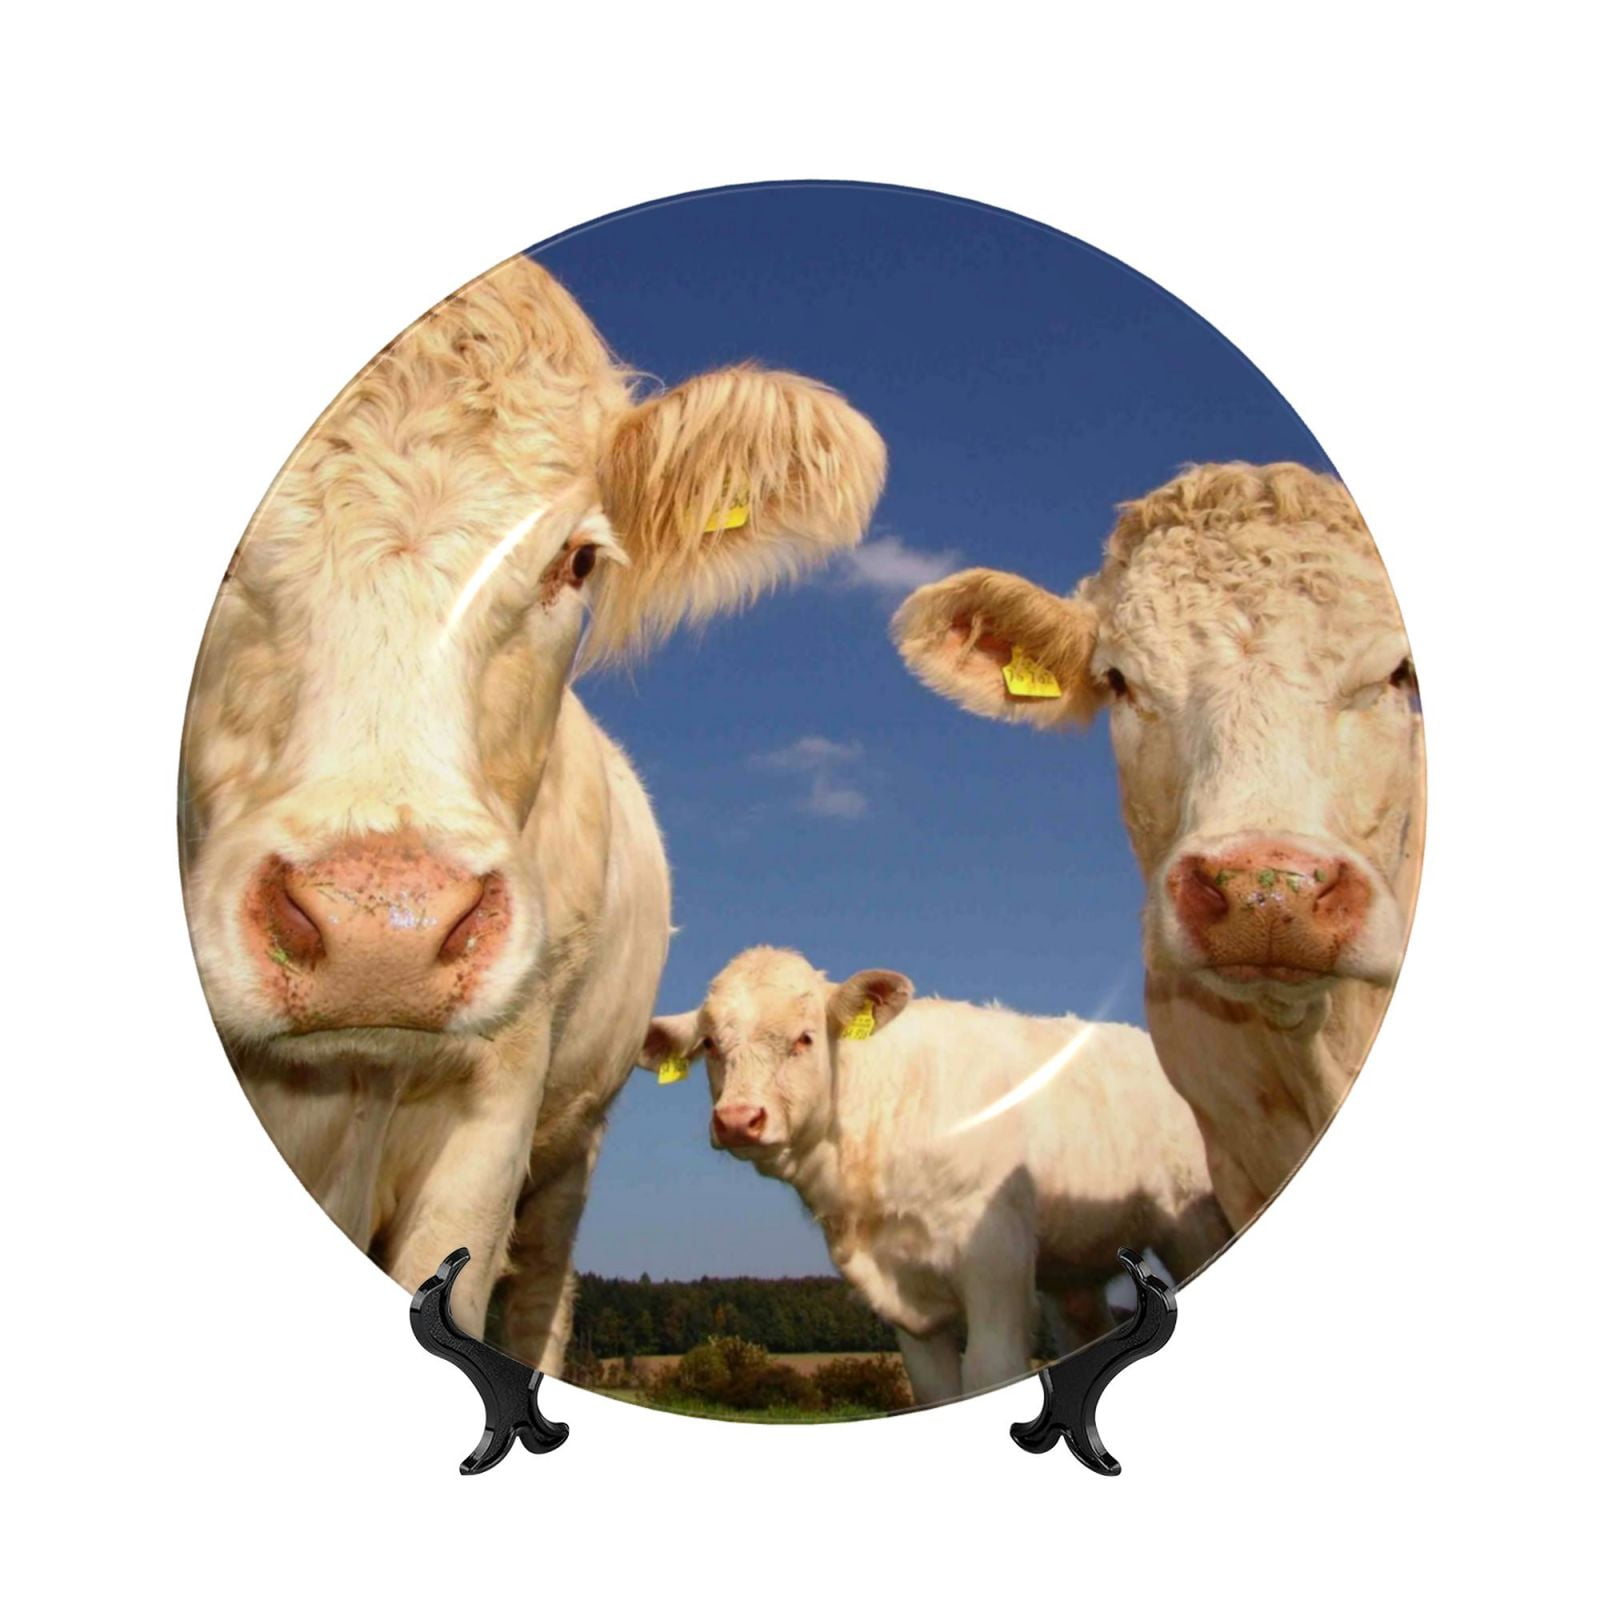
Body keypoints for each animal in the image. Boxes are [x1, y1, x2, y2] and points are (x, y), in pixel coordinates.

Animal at [637, 946, 1230, 1404]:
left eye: (805, 1038)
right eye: (711, 1044)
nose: (738, 1119)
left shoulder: (996, 1261)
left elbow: (990, 1372)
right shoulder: (904, 1299)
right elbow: (933, 1391)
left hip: (1192, 1223)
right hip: (1072, 1270)